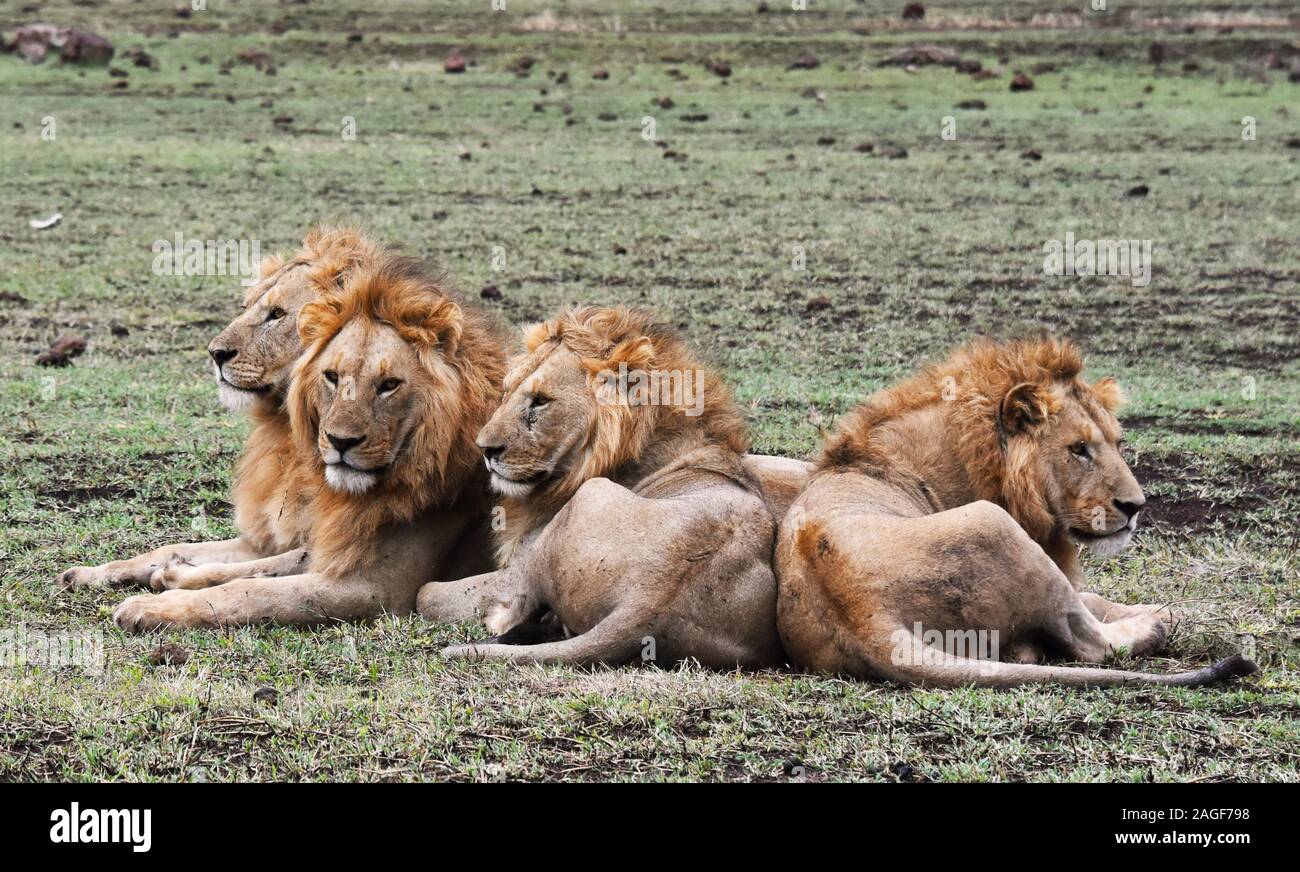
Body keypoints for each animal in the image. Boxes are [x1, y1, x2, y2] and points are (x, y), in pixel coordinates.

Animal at [59, 226, 382, 592]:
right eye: (245, 306)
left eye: (277, 314)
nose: (215, 353)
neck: (288, 431)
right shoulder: (265, 537)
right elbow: (174, 547)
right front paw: (95, 572)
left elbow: (260, 568)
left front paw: (175, 576)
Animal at [112, 255, 507, 631]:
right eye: (332, 377)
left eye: (389, 385)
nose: (340, 441)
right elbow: (251, 563)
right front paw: (152, 572)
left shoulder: (377, 589)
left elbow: (253, 592)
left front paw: (153, 606)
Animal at [416, 307, 786, 669]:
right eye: (507, 391)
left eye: (540, 400)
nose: (485, 449)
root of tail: (649, 603)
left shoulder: (516, 564)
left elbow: (425, 592)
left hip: (583, 502)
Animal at [775, 336, 1257, 687]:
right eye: (1078, 449)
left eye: (1118, 443)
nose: (1135, 507)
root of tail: (867, 618)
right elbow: (1089, 605)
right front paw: (1165, 611)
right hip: (995, 526)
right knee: (1088, 640)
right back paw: (1159, 622)